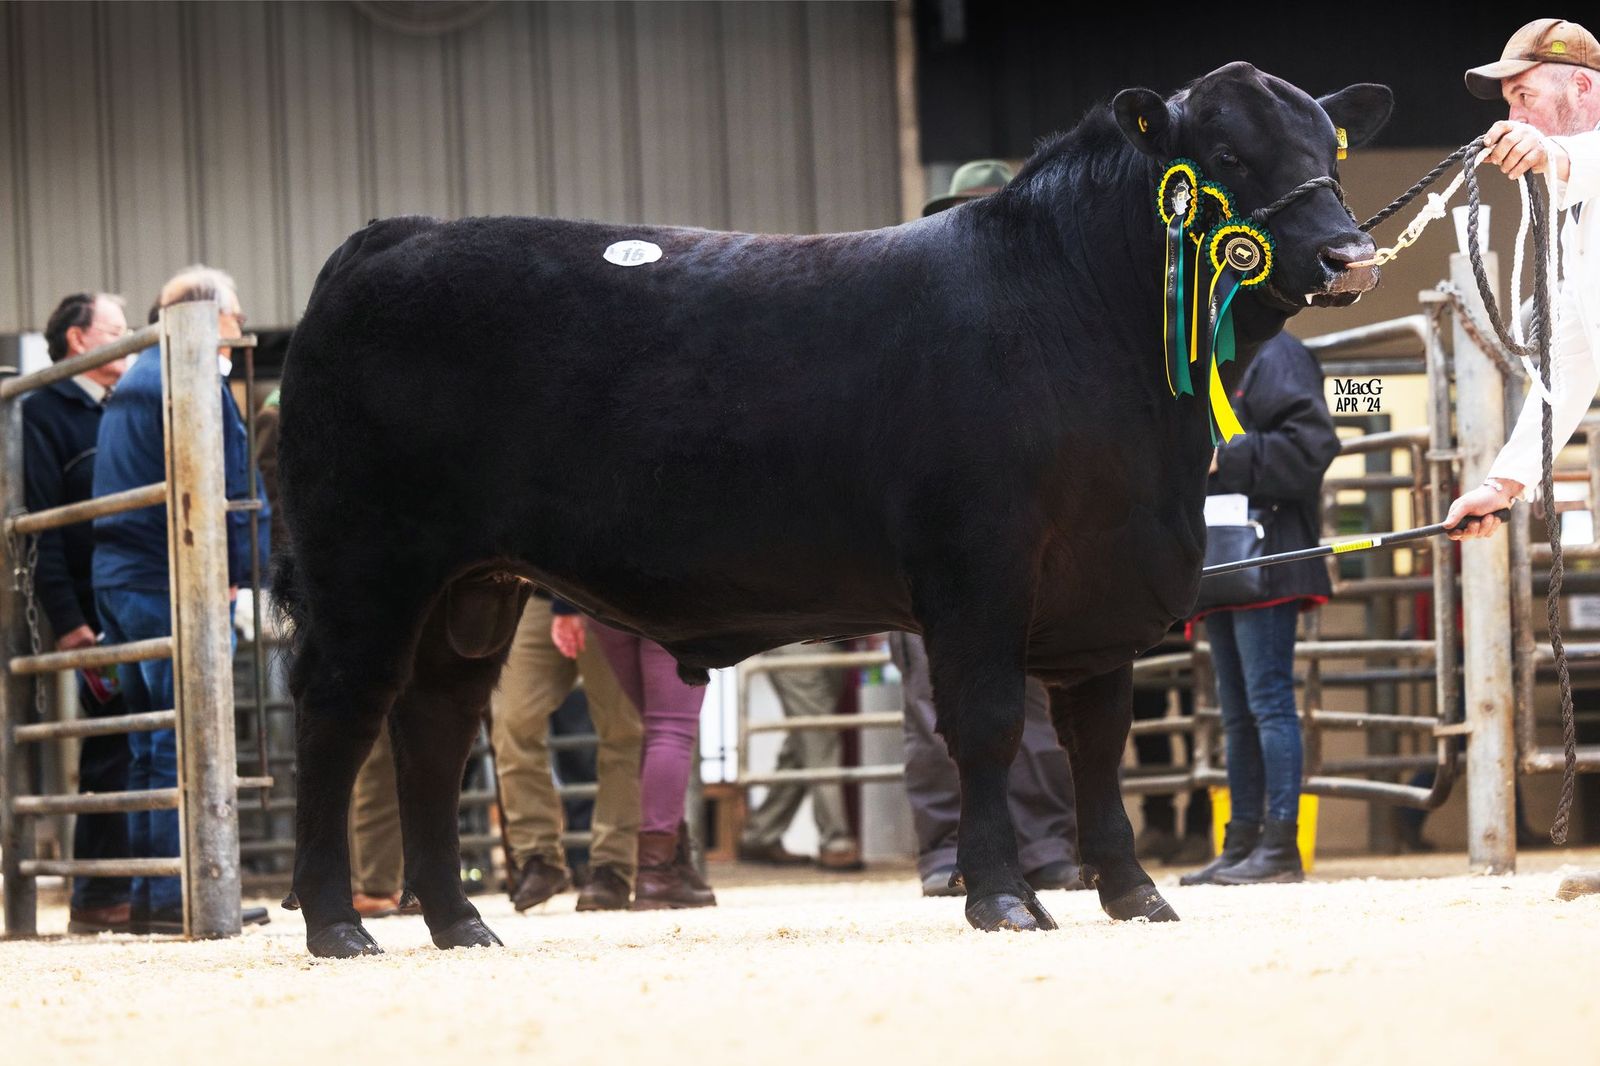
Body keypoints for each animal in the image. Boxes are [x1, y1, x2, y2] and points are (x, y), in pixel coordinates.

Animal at [274, 62, 1392, 957]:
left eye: (1328, 149)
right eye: (1224, 153)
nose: (1349, 255)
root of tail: (394, 237)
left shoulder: (1102, 581)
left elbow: (1096, 738)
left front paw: (1132, 893)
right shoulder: (979, 568)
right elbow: (986, 727)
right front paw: (1003, 898)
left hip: (472, 589)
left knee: (432, 726)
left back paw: (459, 922)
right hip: (365, 567)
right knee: (339, 716)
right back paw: (337, 923)